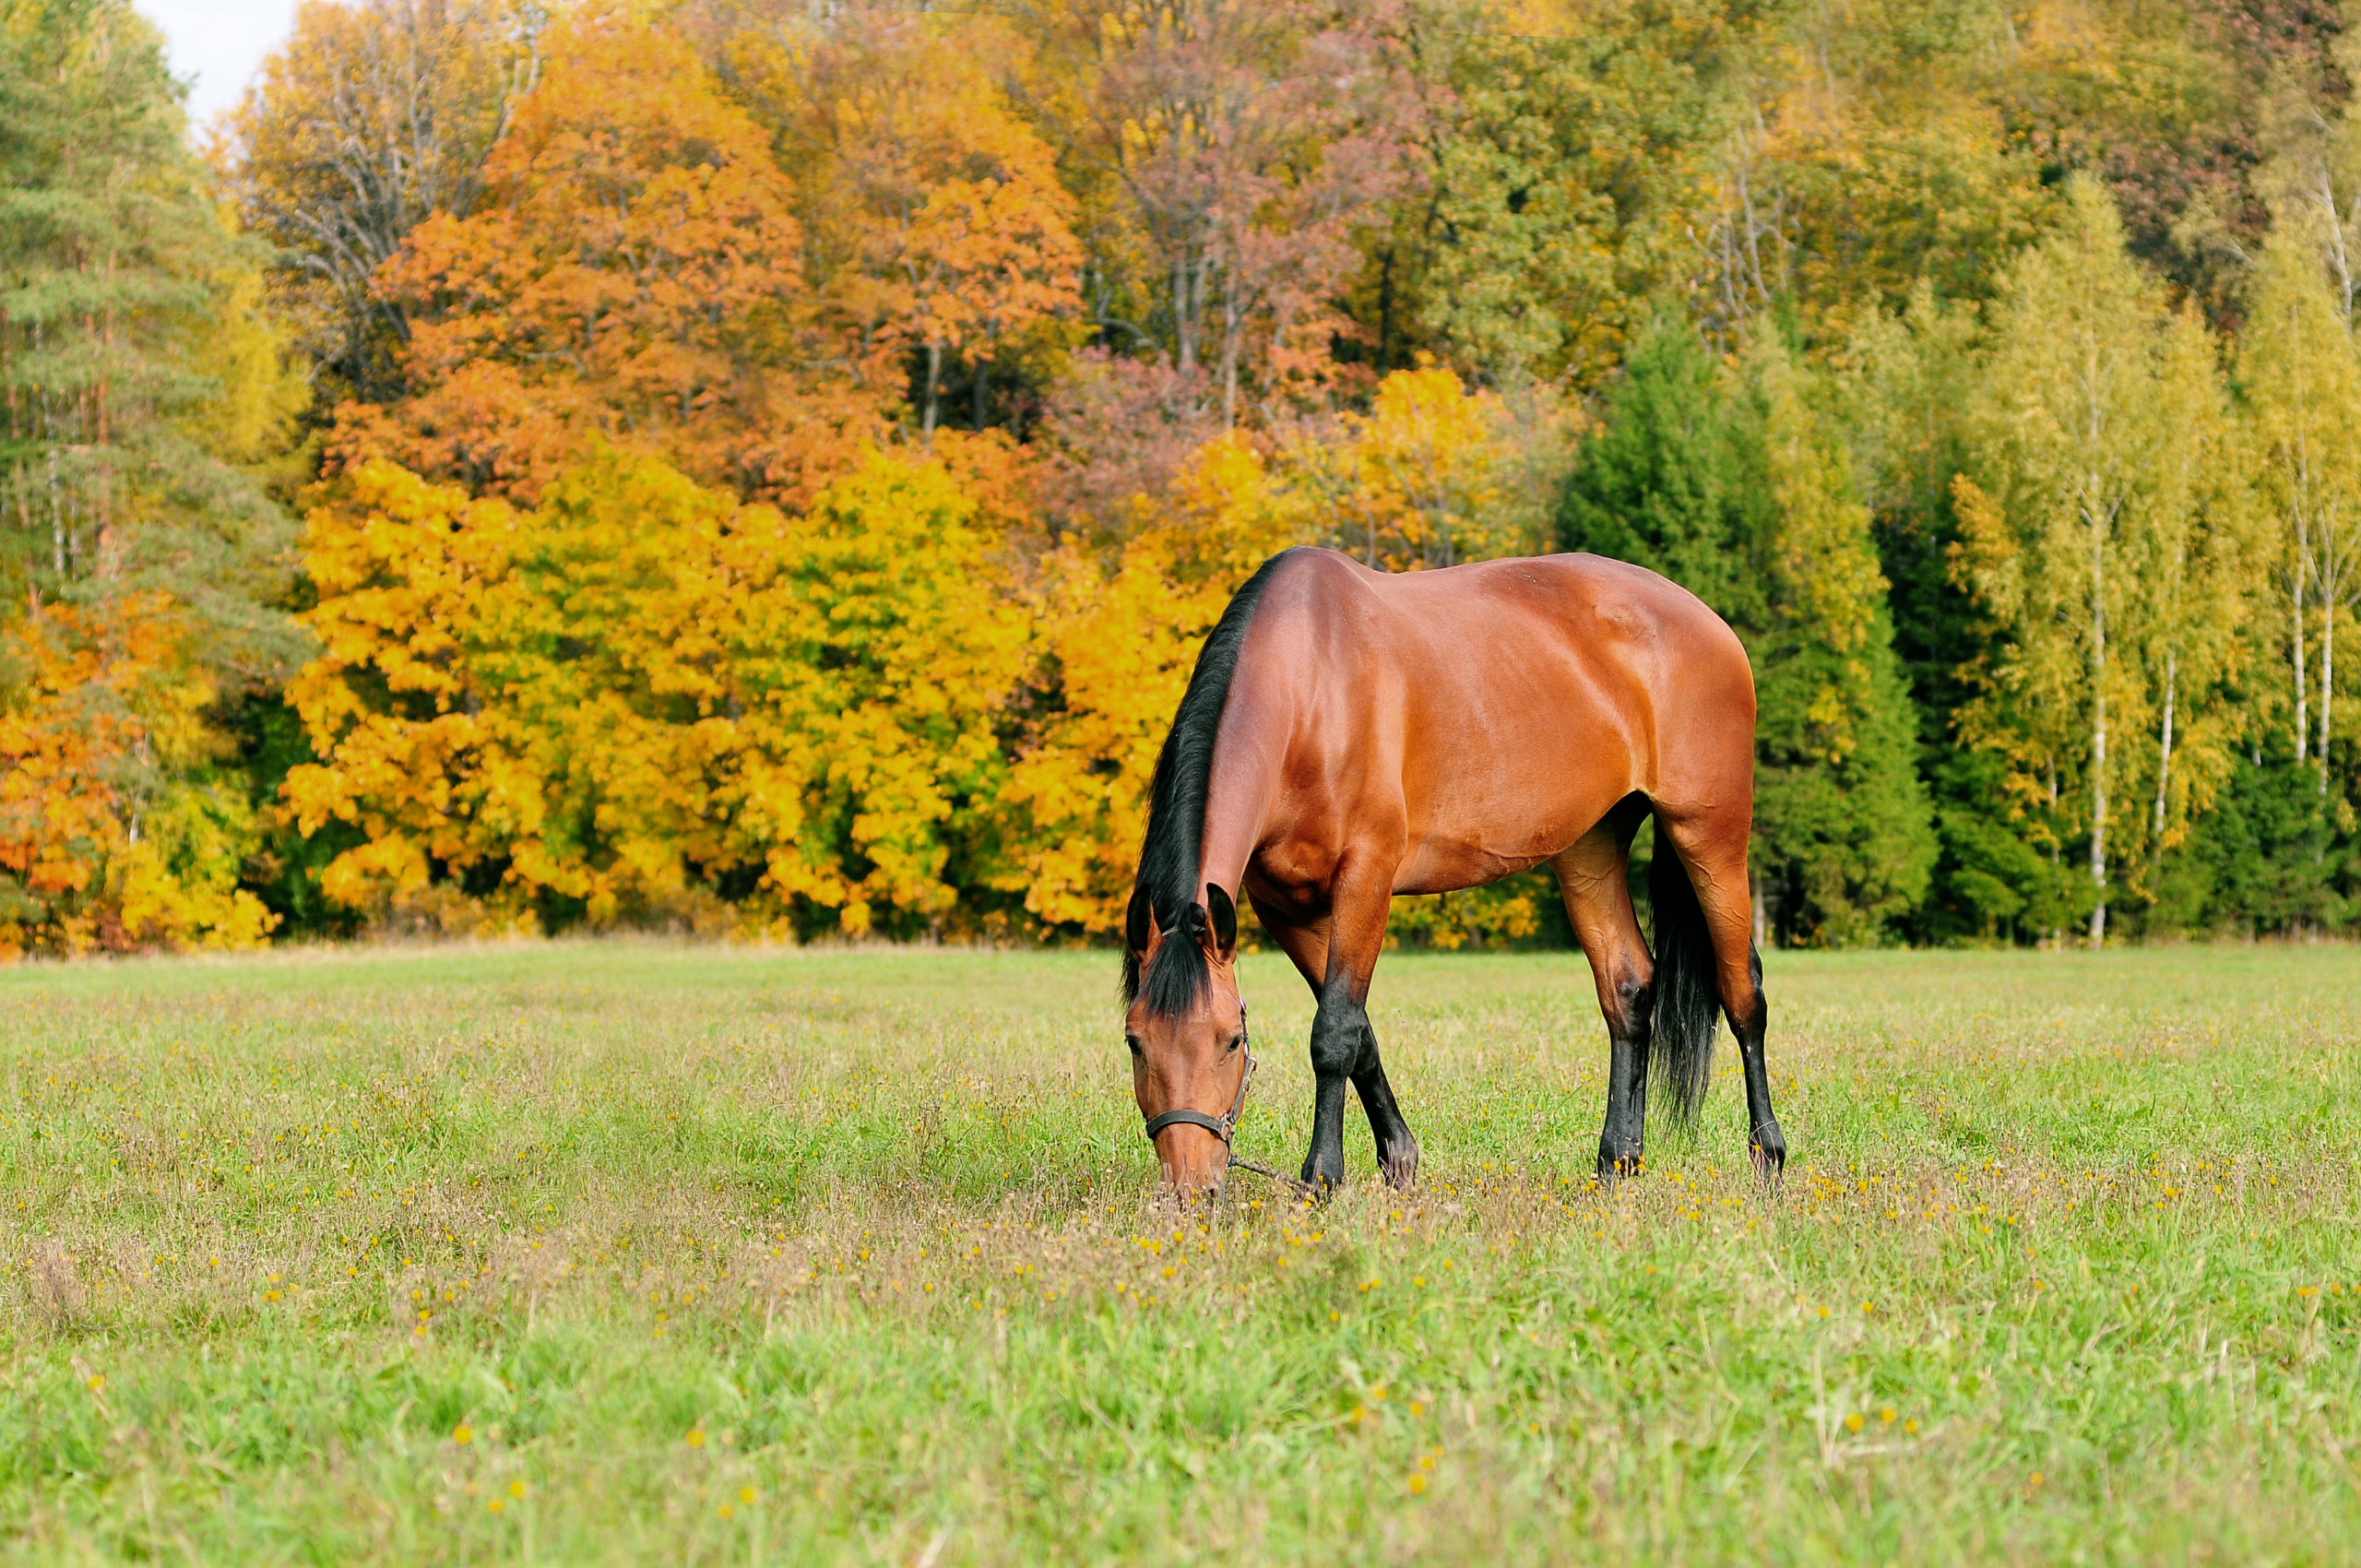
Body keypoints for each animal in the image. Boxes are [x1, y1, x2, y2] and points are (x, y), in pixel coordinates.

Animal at [1120, 545, 1787, 1195]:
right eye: (1134, 1040)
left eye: (1231, 1040)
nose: (1189, 1188)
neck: (1310, 690)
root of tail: (1704, 618)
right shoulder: (1285, 908)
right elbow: (1361, 1033)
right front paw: (1398, 1161)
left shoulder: (1366, 881)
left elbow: (1334, 1033)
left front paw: (1322, 1179)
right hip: (1590, 846)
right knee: (1627, 987)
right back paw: (1618, 1164)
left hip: (1709, 835)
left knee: (1742, 992)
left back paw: (1768, 1160)